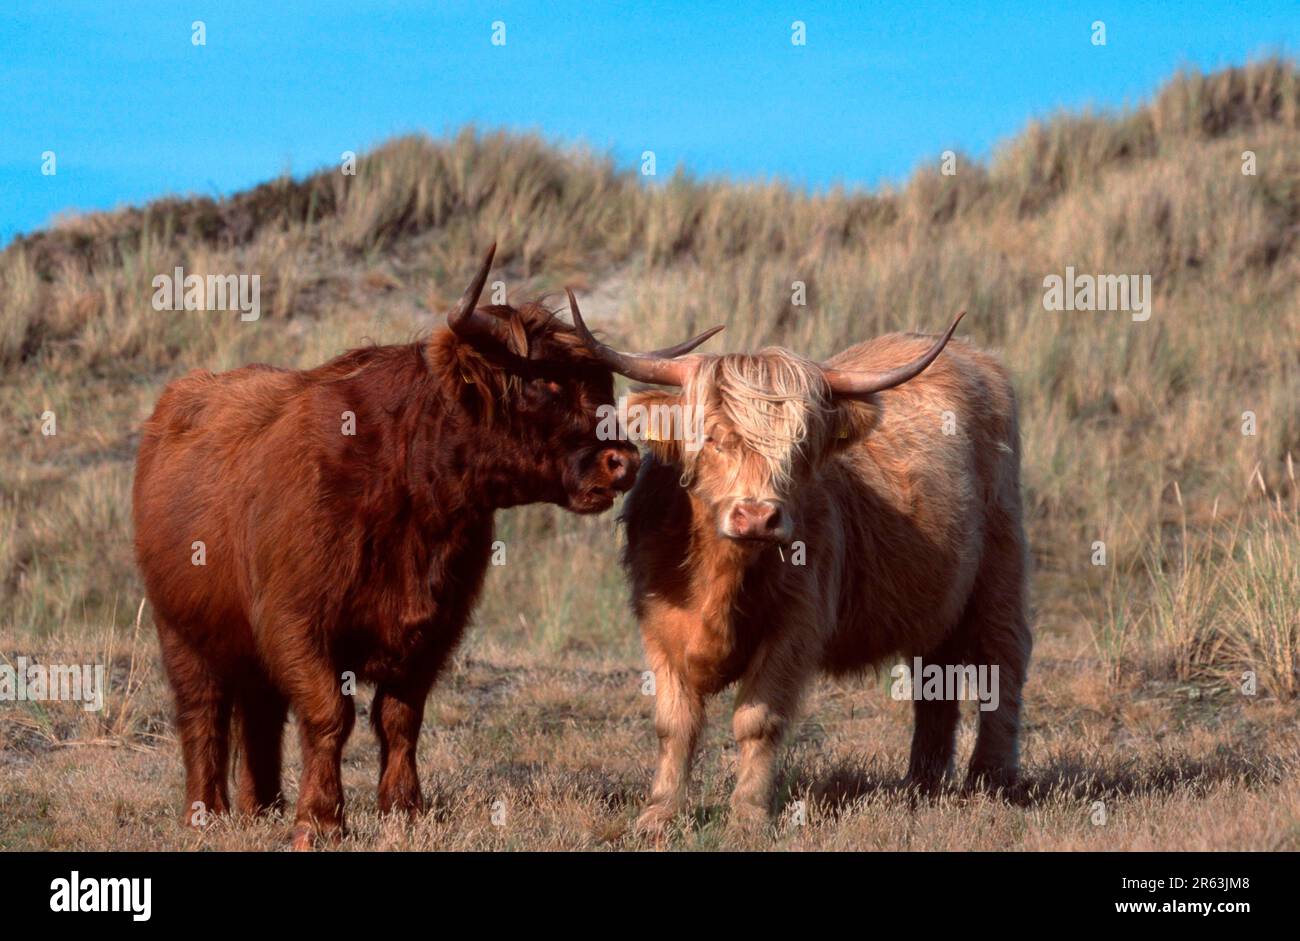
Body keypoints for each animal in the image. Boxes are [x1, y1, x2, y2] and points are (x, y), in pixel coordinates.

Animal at [131, 246, 721, 848]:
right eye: (544, 386)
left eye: (603, 387)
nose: (622, 461)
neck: (410, 495)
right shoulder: (296, 620)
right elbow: (328, 713)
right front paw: (319, 821)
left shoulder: (435, 625)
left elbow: (399, 717)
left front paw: (403, 809)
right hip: (181, 628)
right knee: (202, 710)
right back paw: (206, 812)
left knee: (260, 709)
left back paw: (262, 807)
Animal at [568, 295, 1031, 835]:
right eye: (712, 437)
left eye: (800, 446)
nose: (757, 516)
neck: (720, 577)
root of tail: (974, 356)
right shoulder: (657, 625)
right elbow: (674, 724)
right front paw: (659, 813)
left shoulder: (795, 626)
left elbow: (757, 719)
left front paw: (747, 815)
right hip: (936, 595)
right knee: (934, 675)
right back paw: (921, 784)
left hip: (1001, 566)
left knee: (1003, 658)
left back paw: (992, 779)